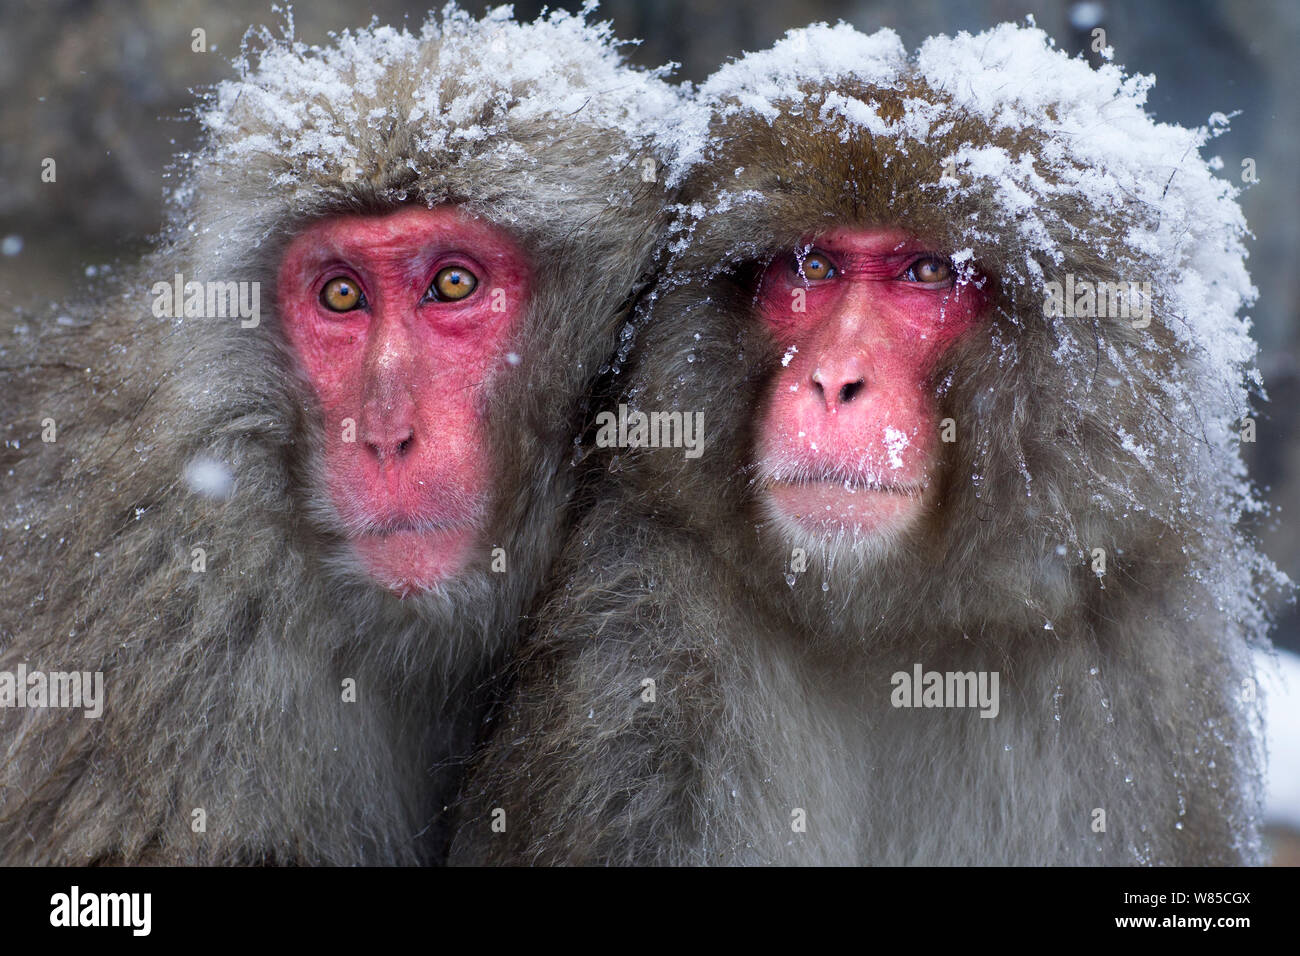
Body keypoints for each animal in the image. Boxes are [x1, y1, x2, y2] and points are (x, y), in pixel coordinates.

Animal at [448, 22, 1280, 866]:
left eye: (926, 272)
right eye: (813, 266)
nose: (834, 380)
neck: (885, 627)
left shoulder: (1140, 675)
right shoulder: (640, 643)